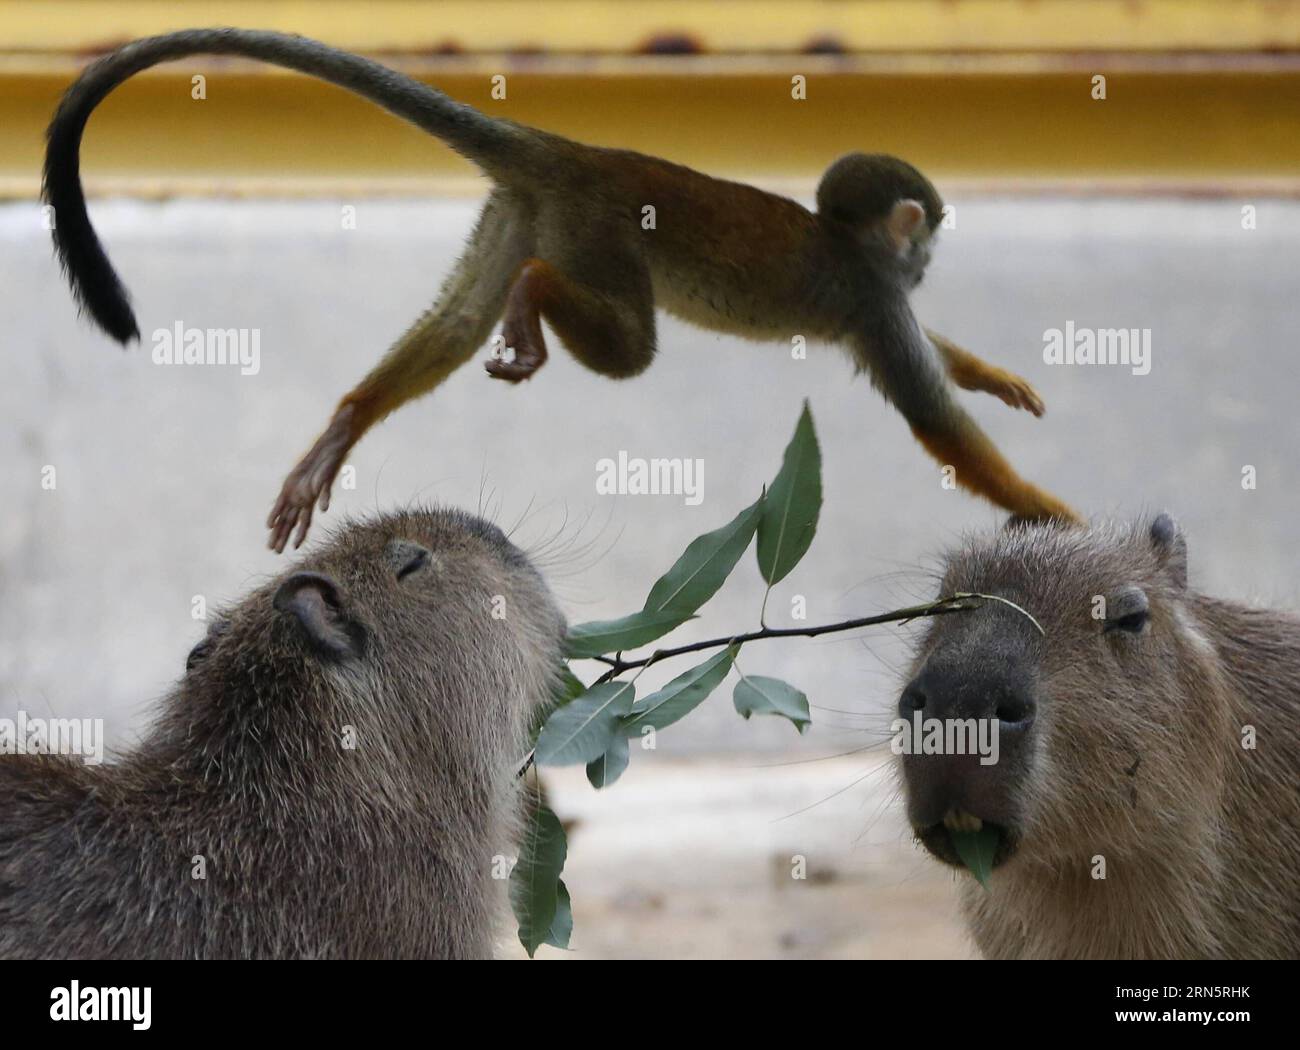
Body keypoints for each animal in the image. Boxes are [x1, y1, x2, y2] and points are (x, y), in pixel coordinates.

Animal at [42, 28, 1081, 553]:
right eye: (929, 235)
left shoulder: (877, 299)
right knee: (625, 346)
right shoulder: (872, 295)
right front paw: (1046, 508)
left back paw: (352, 416)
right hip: (594, 232)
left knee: (466, 315)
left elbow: (939, 375)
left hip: (529, 205)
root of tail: (573, 149)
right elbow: (935, 420)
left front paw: (993, 377)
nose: (929, 262)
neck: (850, 244)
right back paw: (535, 299)